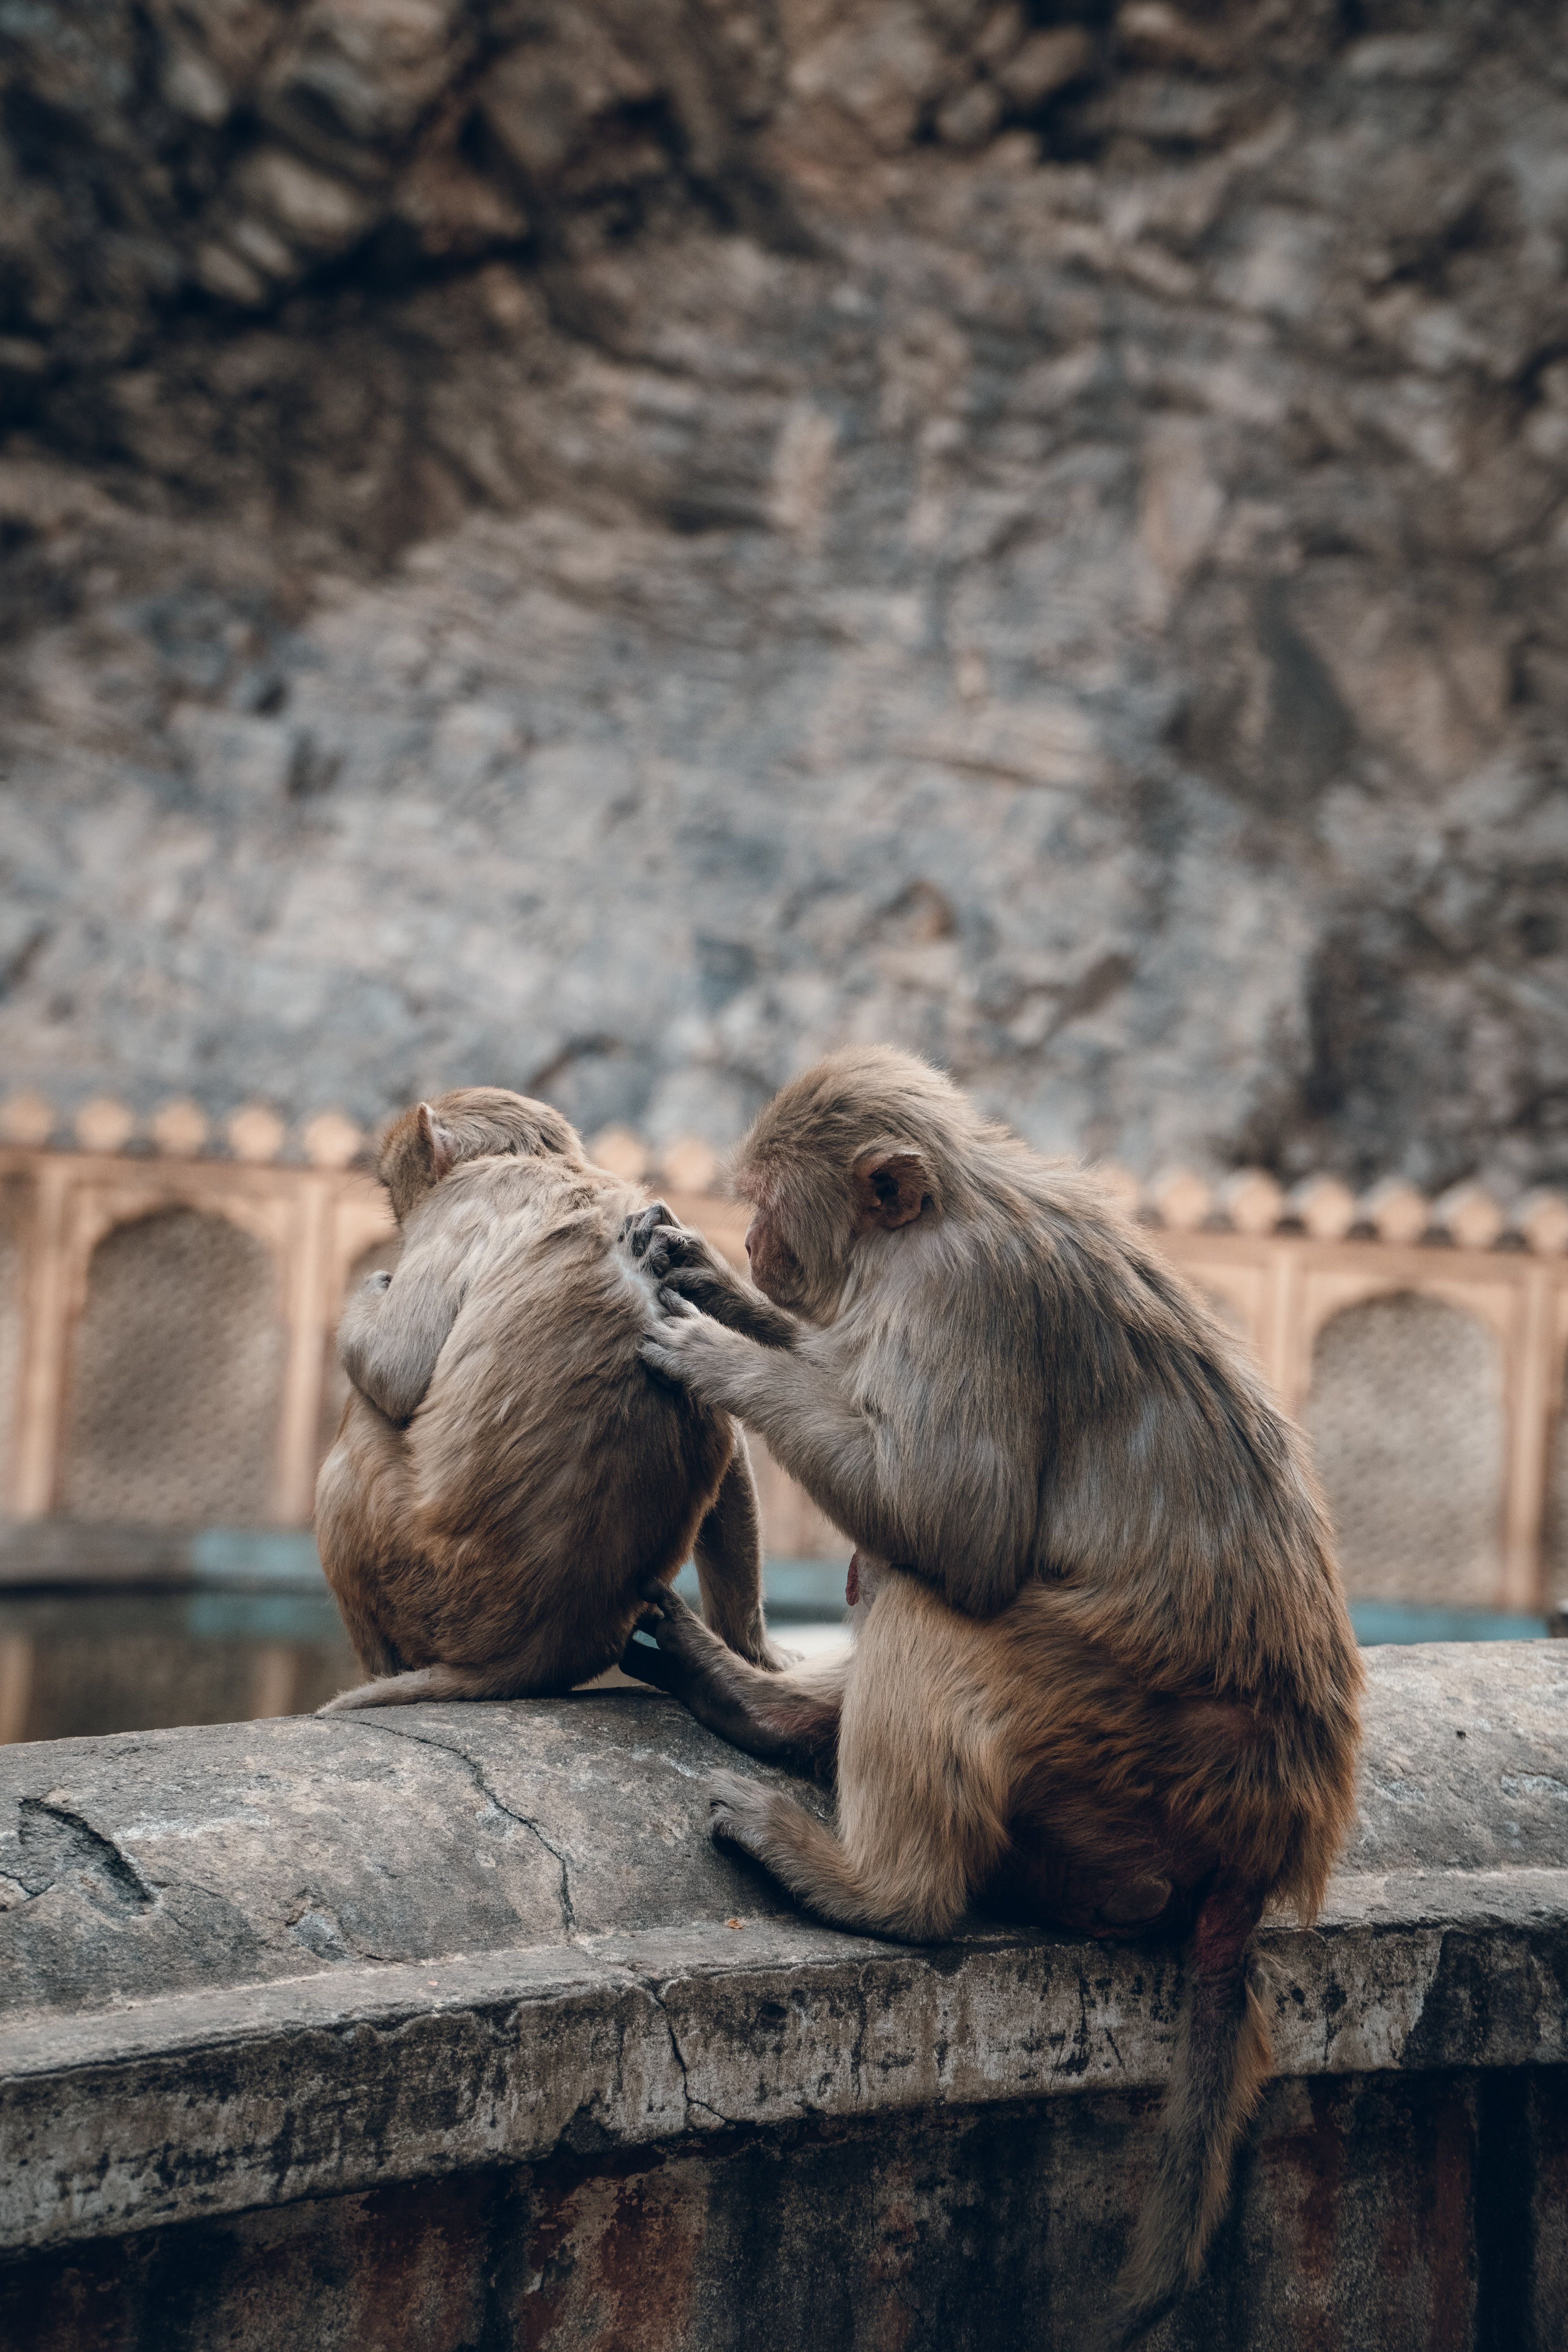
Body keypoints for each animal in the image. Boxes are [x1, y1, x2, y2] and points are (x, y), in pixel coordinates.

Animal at [313, 1087, 784, 1711]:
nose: (396, 1221)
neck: (549, 1164)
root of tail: (534, 1654)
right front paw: (753, 1656)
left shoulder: (460, 1204)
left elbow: (396, 1372)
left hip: (422, 1581)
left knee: (361, 1425)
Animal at [617, 1045, 1363, 2348]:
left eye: (771, 1196)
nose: (750, 1236)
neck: (946, 1212)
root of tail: (1268, 1836)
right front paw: (706, 1279)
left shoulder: (962, 1299)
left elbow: (957, 1528)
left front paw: (710, 1344)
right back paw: (764, 1710)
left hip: (1125, 1738)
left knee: (930, 1604)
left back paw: (876, 1886)